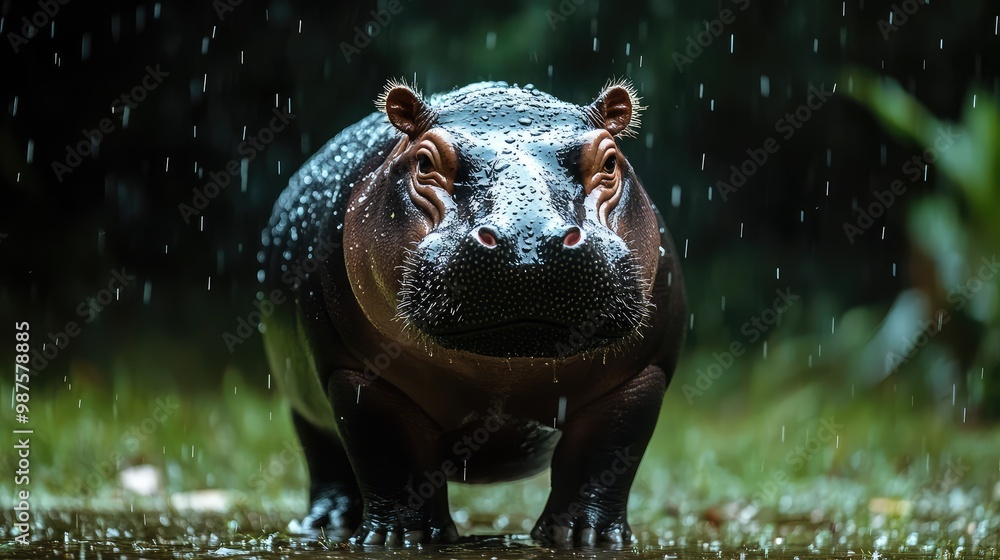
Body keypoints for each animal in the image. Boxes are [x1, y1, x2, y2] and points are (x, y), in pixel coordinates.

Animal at [259, 79, 685, 546]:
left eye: (609, 161)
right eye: (424, 162)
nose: (528, 240)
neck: (503, 371)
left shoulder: (639, 375)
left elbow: (603, 460)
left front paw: (584, 539)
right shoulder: (357, 374)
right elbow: (389, 458)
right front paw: (402, 539)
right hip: (302, 403)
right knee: (324, 456)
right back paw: (328, 522)